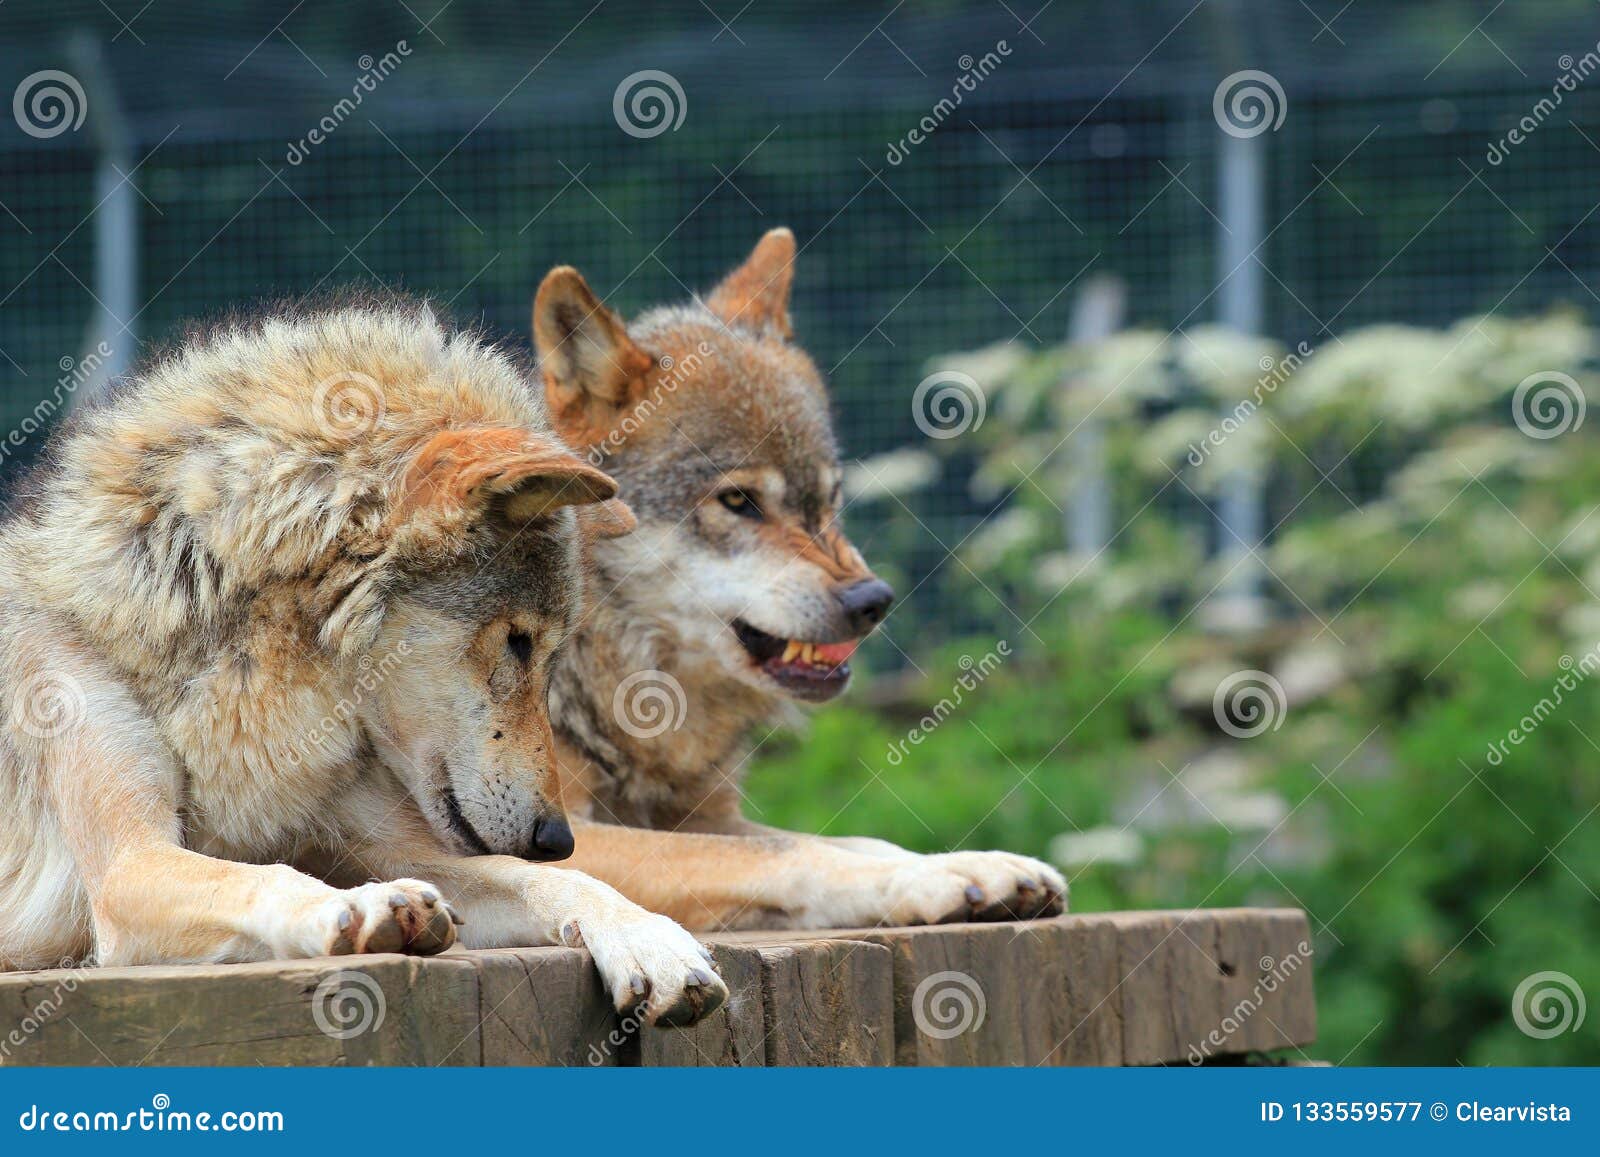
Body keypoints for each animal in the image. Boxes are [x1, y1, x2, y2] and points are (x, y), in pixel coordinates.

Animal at [0, 297, 726, 1026]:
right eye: (517, 641)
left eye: (549, 656)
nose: (558, 835)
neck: (247, 673)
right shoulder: (129, 868)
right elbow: (267, 876)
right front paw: (365, 904)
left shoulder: (381, 841)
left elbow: (547, 879)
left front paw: (651, 939)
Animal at [532, 229, 1068, 931]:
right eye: (738, 501)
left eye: (830, 497)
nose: (873, 602)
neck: (601, 665)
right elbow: (790, 854)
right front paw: (935, 878)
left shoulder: (706, 817)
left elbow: (845, 838)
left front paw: (973, 862)